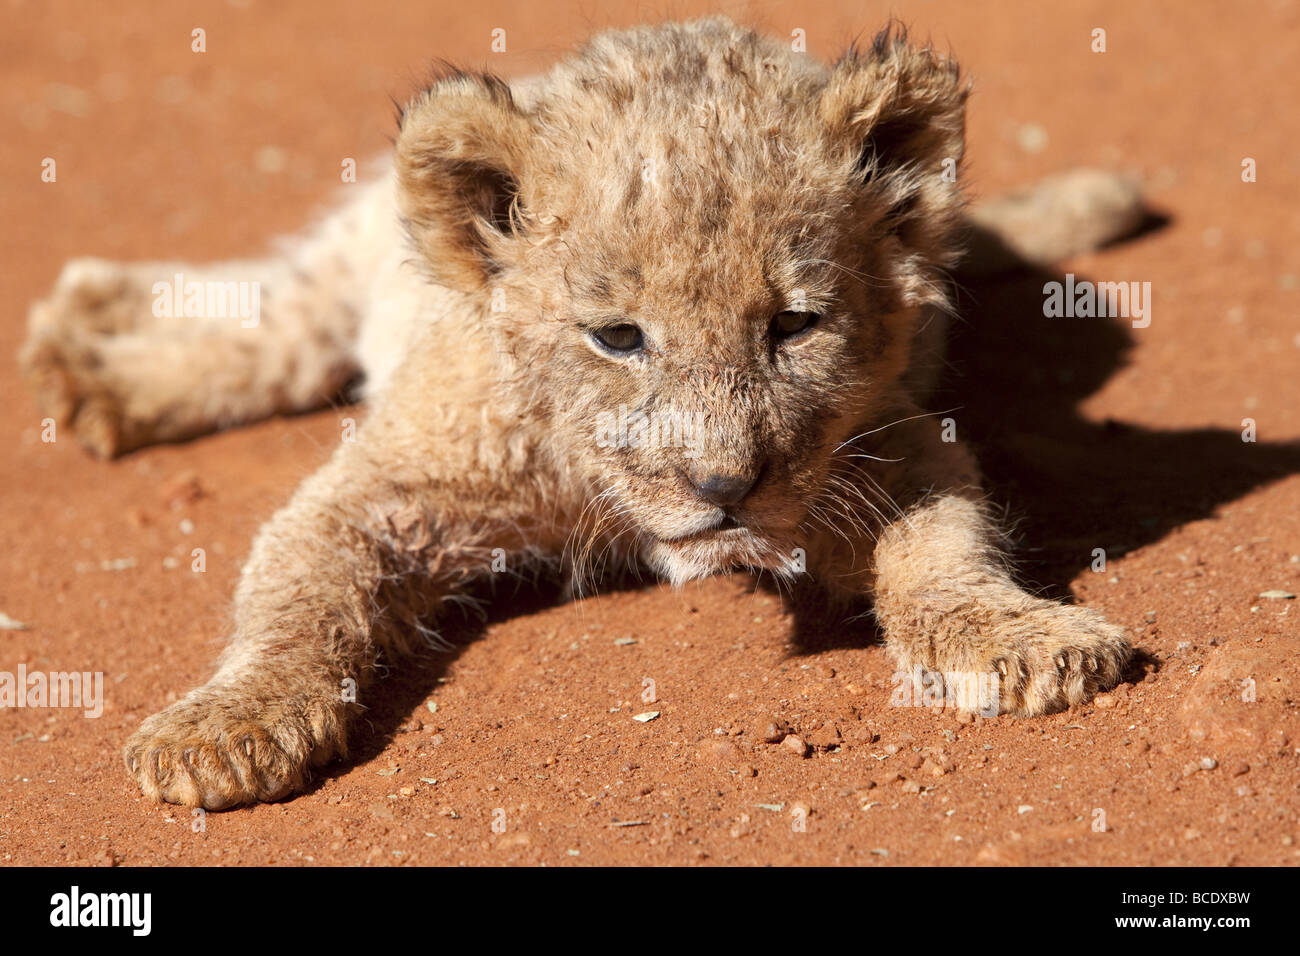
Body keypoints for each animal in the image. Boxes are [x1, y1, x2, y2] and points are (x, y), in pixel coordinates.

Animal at [20, 18, 1142, 808]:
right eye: (617, 337)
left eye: (793, 325)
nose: (724, 486)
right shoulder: (385, 478)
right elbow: (295, 597)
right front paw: (225, 728)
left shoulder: (892, 443)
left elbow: (946, 550)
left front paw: (1020, 641)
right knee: (272, 321)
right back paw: (90, 350)